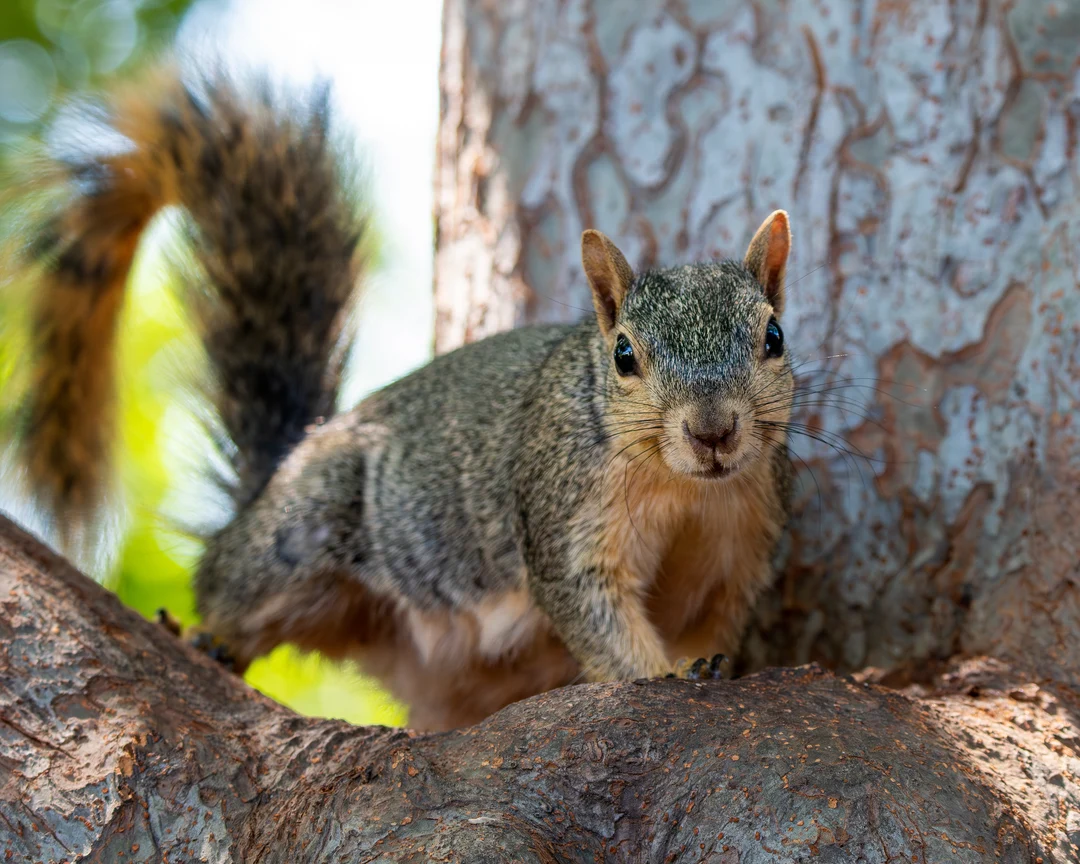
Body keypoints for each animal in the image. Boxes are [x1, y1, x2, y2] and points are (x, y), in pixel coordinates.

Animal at [6, 66, 795, 732]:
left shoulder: (732, 552)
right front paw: (660, 673)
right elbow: (592, 611)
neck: (685, 491)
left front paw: (705, 662)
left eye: (774, 336)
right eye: (624, 355)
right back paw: (210, 636)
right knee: (231, 588)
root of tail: (274, 480)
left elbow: (711, 623)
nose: (713, 432)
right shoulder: (564, 515)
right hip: (303, 530)